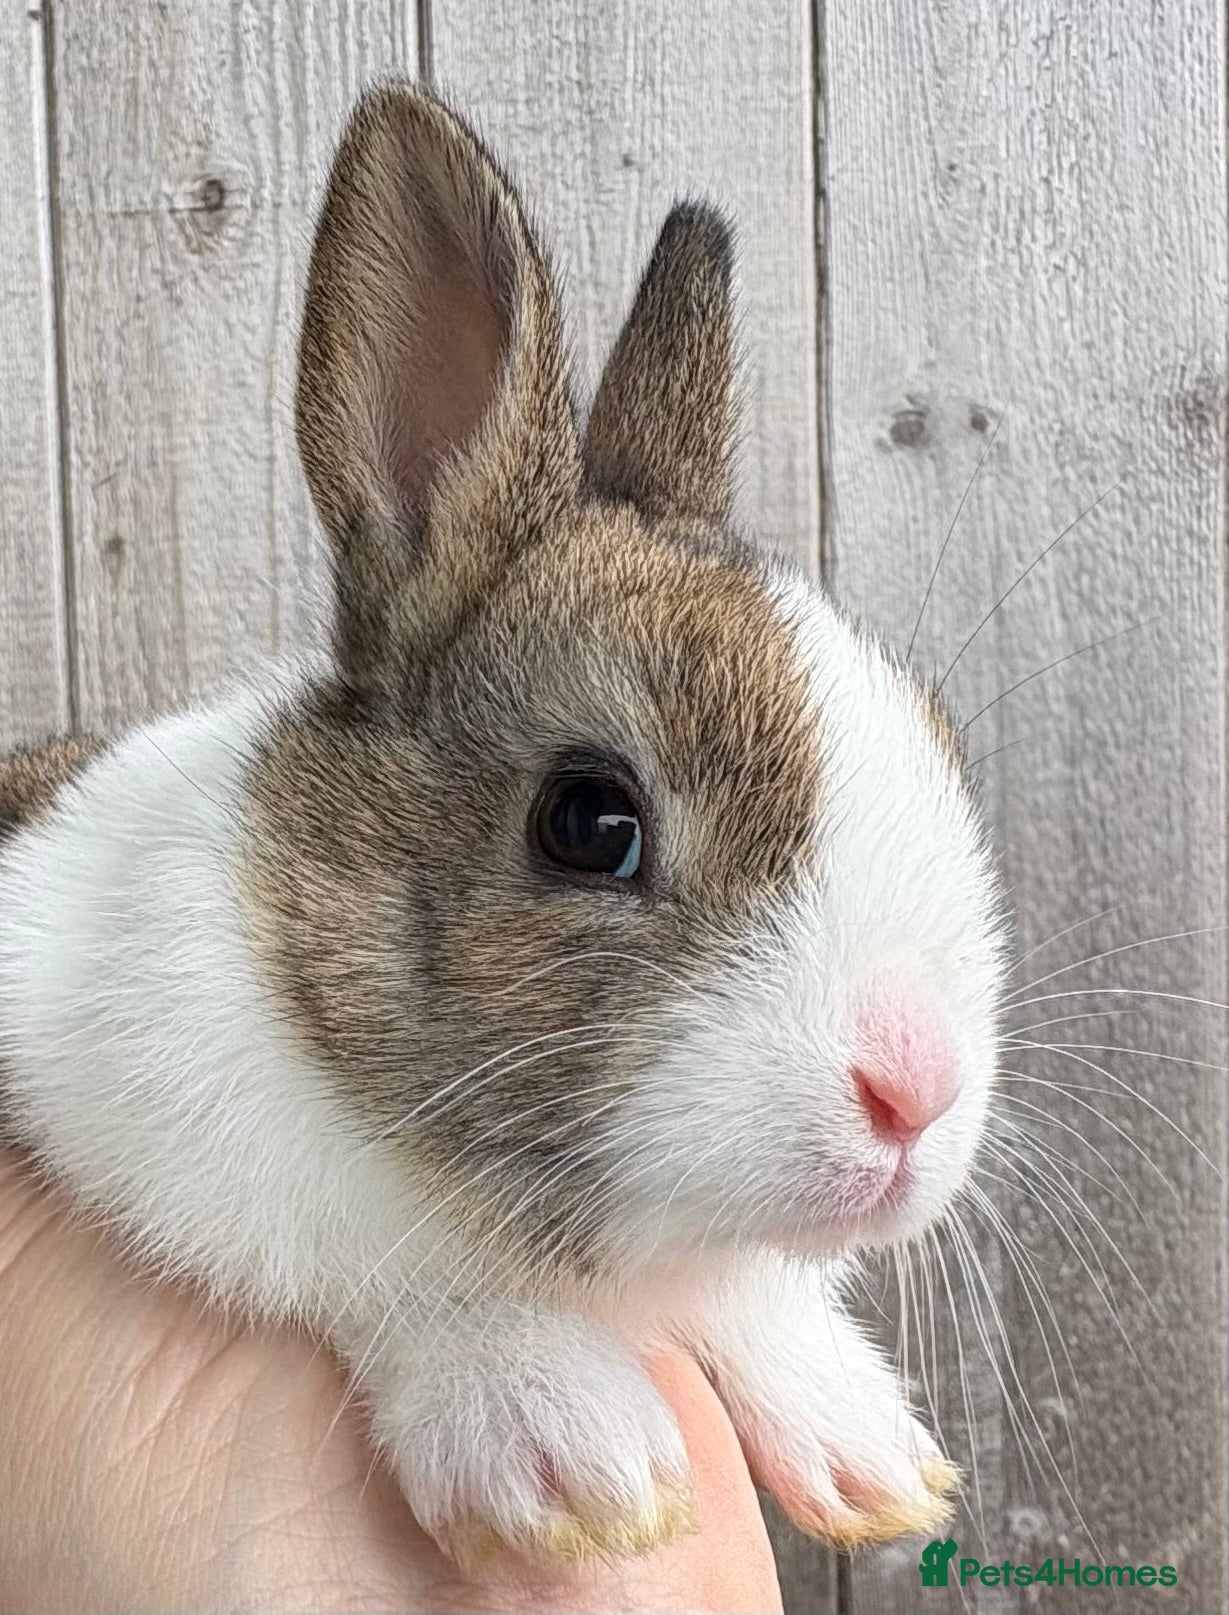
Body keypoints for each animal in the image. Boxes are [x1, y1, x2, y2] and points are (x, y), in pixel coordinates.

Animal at [0, 82, 1008, 1567]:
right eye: (587, 819)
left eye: (932, 730)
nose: (916, 1088)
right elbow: (375, 1272)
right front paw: (560, 1441)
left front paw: (860, 1441)